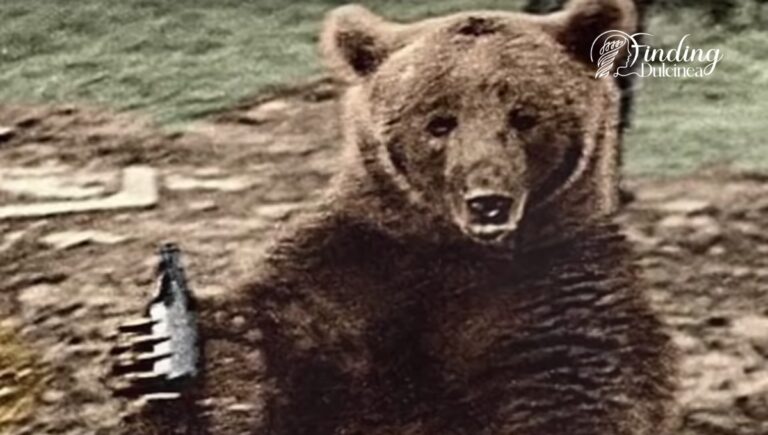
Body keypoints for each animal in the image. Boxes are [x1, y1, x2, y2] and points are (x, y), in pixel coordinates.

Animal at [118, 0, 677, 433]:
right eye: (439, 121)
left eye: (524, 115)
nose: (487, 200)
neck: (457, 249)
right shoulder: (357, 264)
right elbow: (273, 335)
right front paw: (164, 361)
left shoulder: (553, 287)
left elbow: (569, 387)